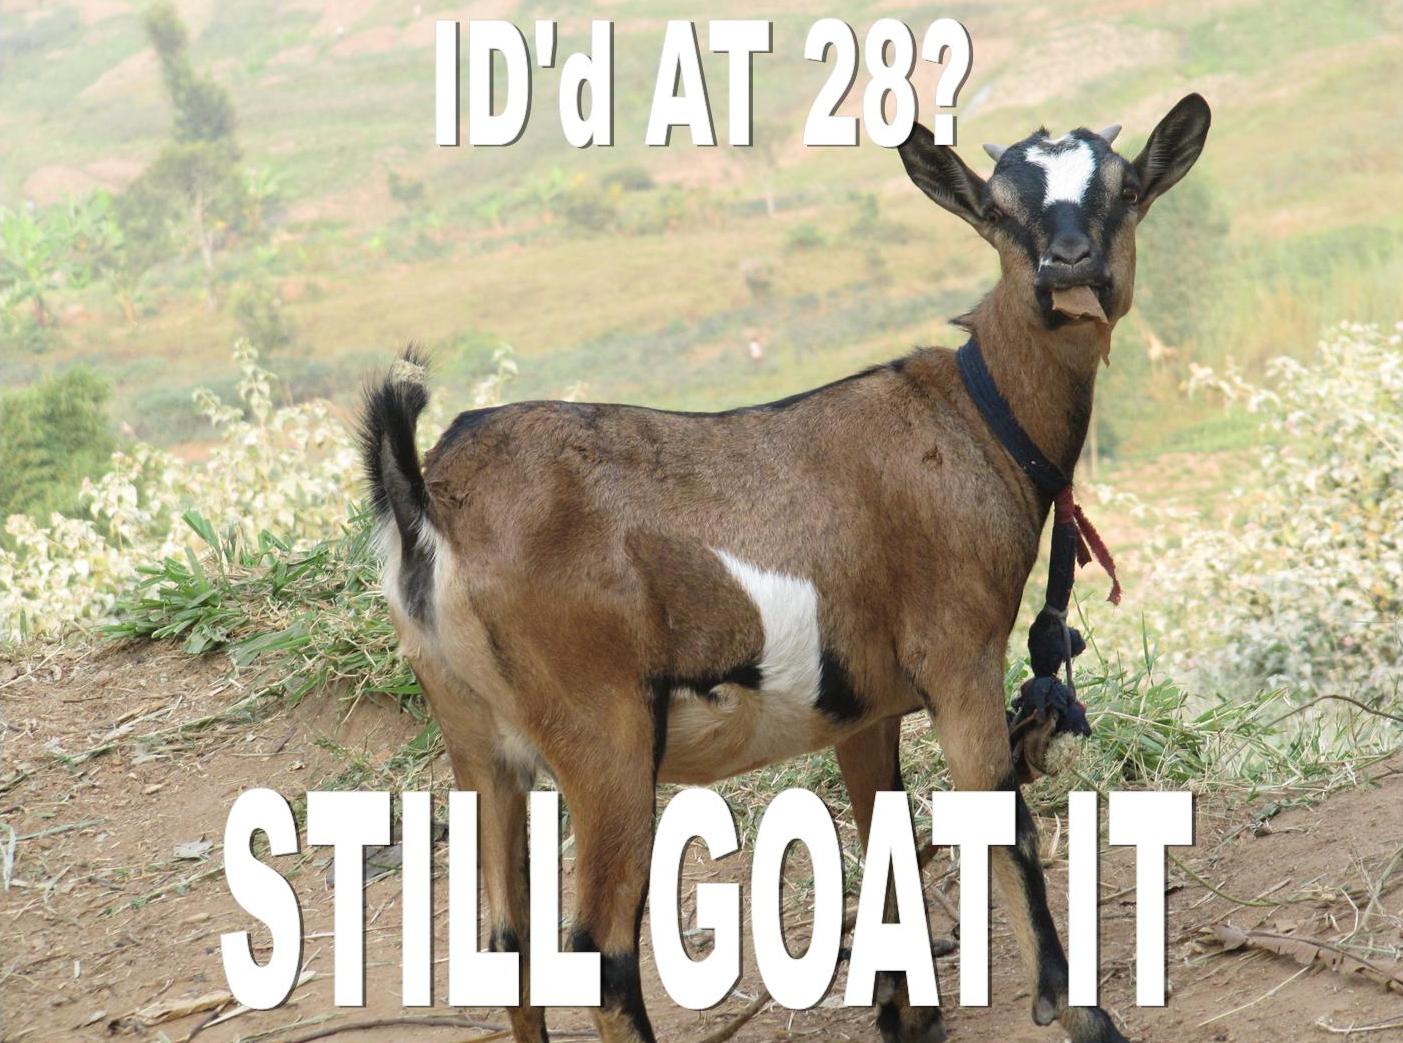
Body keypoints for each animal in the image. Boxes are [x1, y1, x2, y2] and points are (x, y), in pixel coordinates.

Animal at [360, 93, 1211, 1043]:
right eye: (997, 210)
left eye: (1125, 189)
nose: (1069, 266)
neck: (976, 420)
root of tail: (430, 501)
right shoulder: (958, 657)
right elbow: (1003, 826)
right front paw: (1082, 1014)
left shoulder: (860, 705)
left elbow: (886, 840)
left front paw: (906, 1014)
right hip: (604, 734)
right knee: (597, 947)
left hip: (475, 738)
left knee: (506, 936)